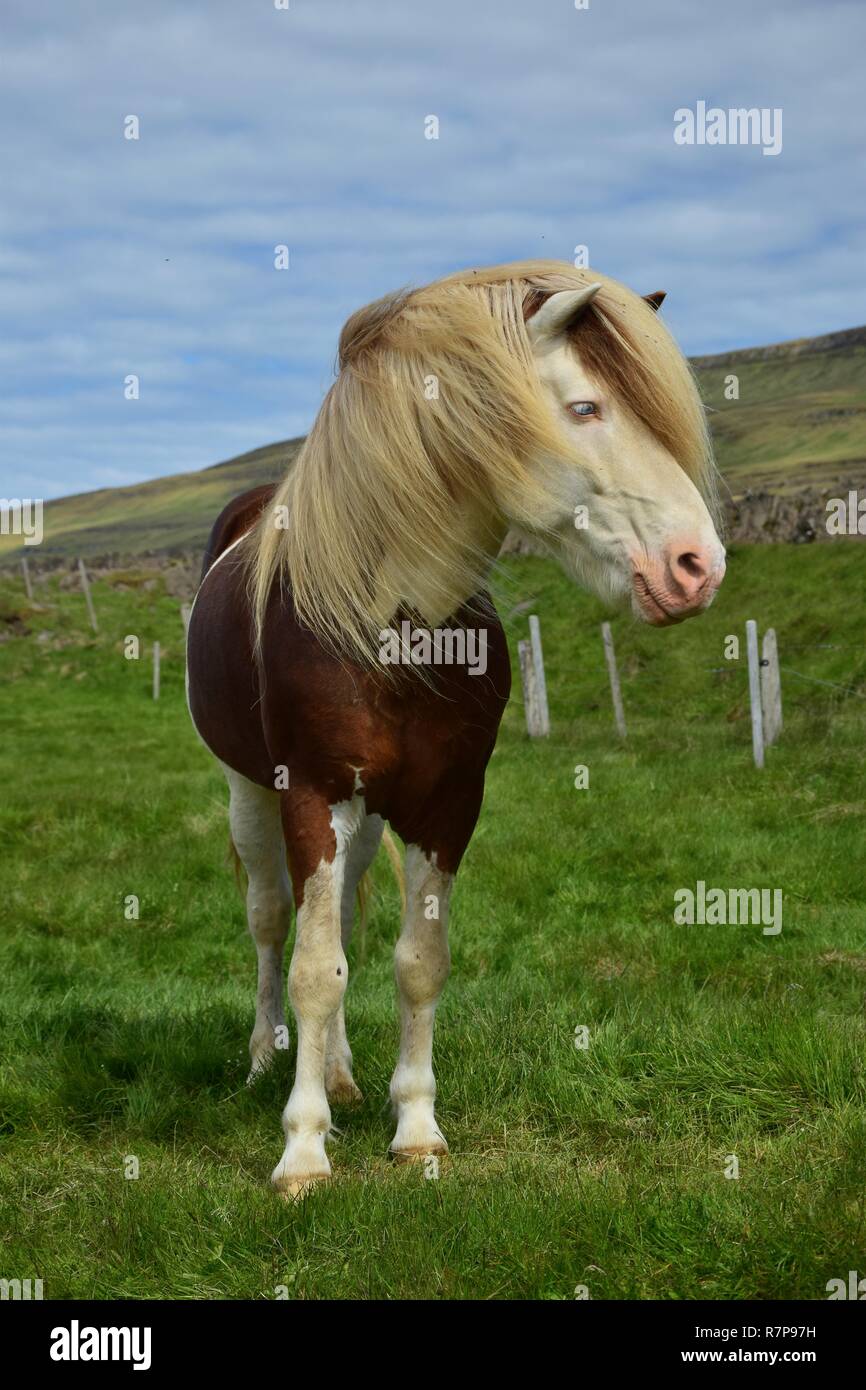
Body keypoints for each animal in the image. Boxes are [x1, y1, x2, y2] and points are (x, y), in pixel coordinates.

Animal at [186, 259, 726, 1196]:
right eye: (586, 407)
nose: (699, 565)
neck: (390, 627)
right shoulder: (312, 795)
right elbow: (313, 971)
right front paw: (302, 1149)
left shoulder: (445, 805)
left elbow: (414, 963)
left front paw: (415, 1128)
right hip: (251, 792)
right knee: (269, 921)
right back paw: (264, 1061)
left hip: (367, 817)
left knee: (343, 926)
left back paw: (340, 1074)